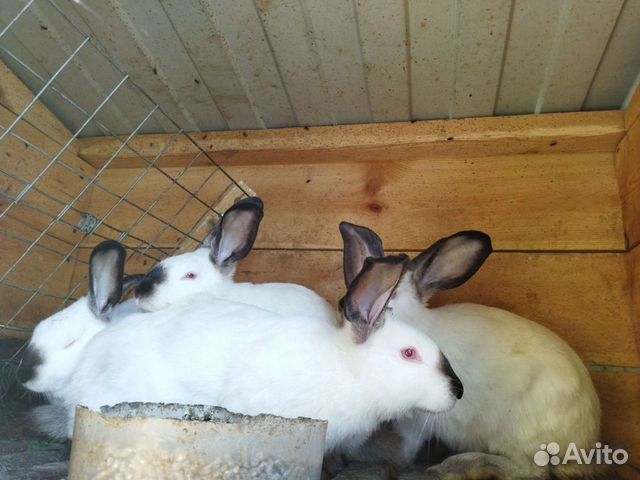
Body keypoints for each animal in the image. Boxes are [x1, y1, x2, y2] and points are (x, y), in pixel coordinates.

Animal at [339, 222, 601, 479]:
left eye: (392, 293)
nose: (346, 305)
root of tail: (584, 440)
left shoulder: (415, 417)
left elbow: (405, 448)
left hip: (517, 432)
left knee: (530, 470)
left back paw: (455, 466)